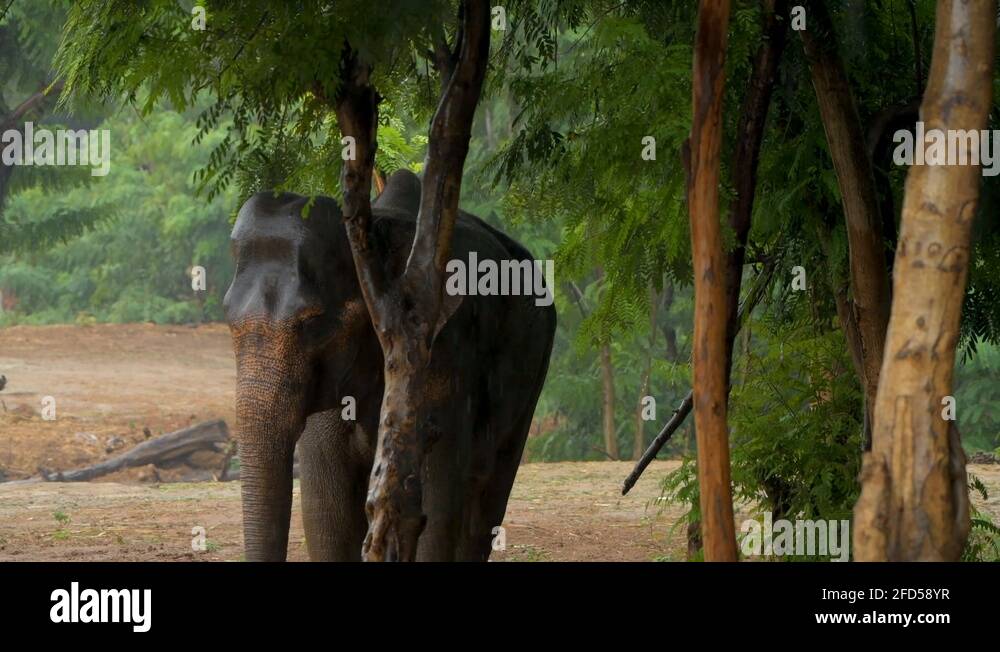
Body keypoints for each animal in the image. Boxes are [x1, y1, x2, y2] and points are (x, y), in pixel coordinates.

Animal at [223, 169, 556, 561]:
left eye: (313, 322)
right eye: (228, 321)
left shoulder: (440, 351)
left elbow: (437, 505)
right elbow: (327, 513)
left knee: (486, 498)